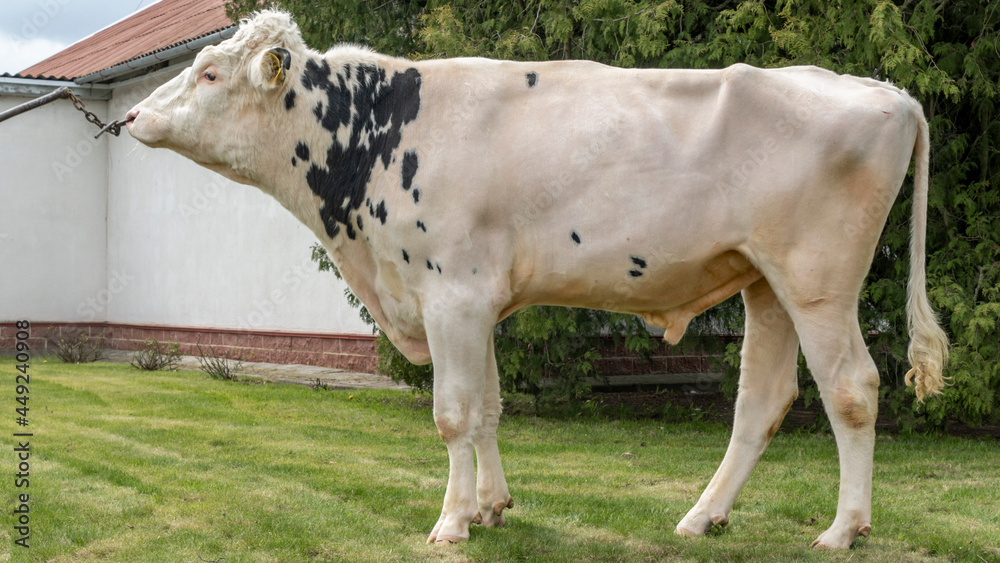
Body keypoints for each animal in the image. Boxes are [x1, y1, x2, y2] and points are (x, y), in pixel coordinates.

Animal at [125, 10, 949, 549]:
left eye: (209, 72)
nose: (130, 116)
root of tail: (885, 89)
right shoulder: (476, 298)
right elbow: (488, 408)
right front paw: (491, 507)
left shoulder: (451, 293)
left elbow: (453, 413)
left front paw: (451, 522)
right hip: (765, 282)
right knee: (762, 402)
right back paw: (701, 516)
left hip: (818, 282)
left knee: (852, 389)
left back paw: (843, 528)